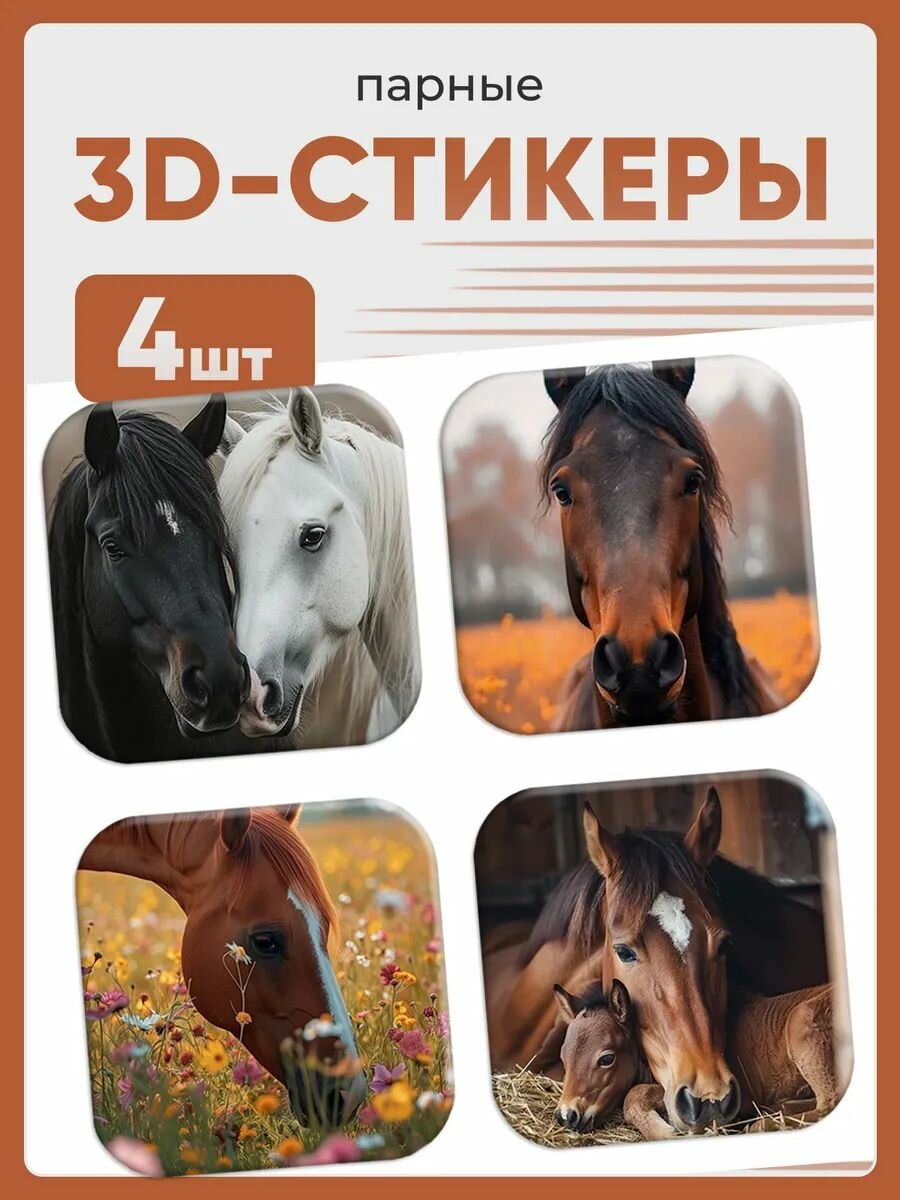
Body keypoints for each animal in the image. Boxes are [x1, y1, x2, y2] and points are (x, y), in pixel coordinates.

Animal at [553, 979, 841, 1138]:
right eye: (564, 1059)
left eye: (606, 1059)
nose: (567, 1116)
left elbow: (634, 1094)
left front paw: (666, 1133)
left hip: (802, 1019)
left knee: (829, 1102)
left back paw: (762, 1124)